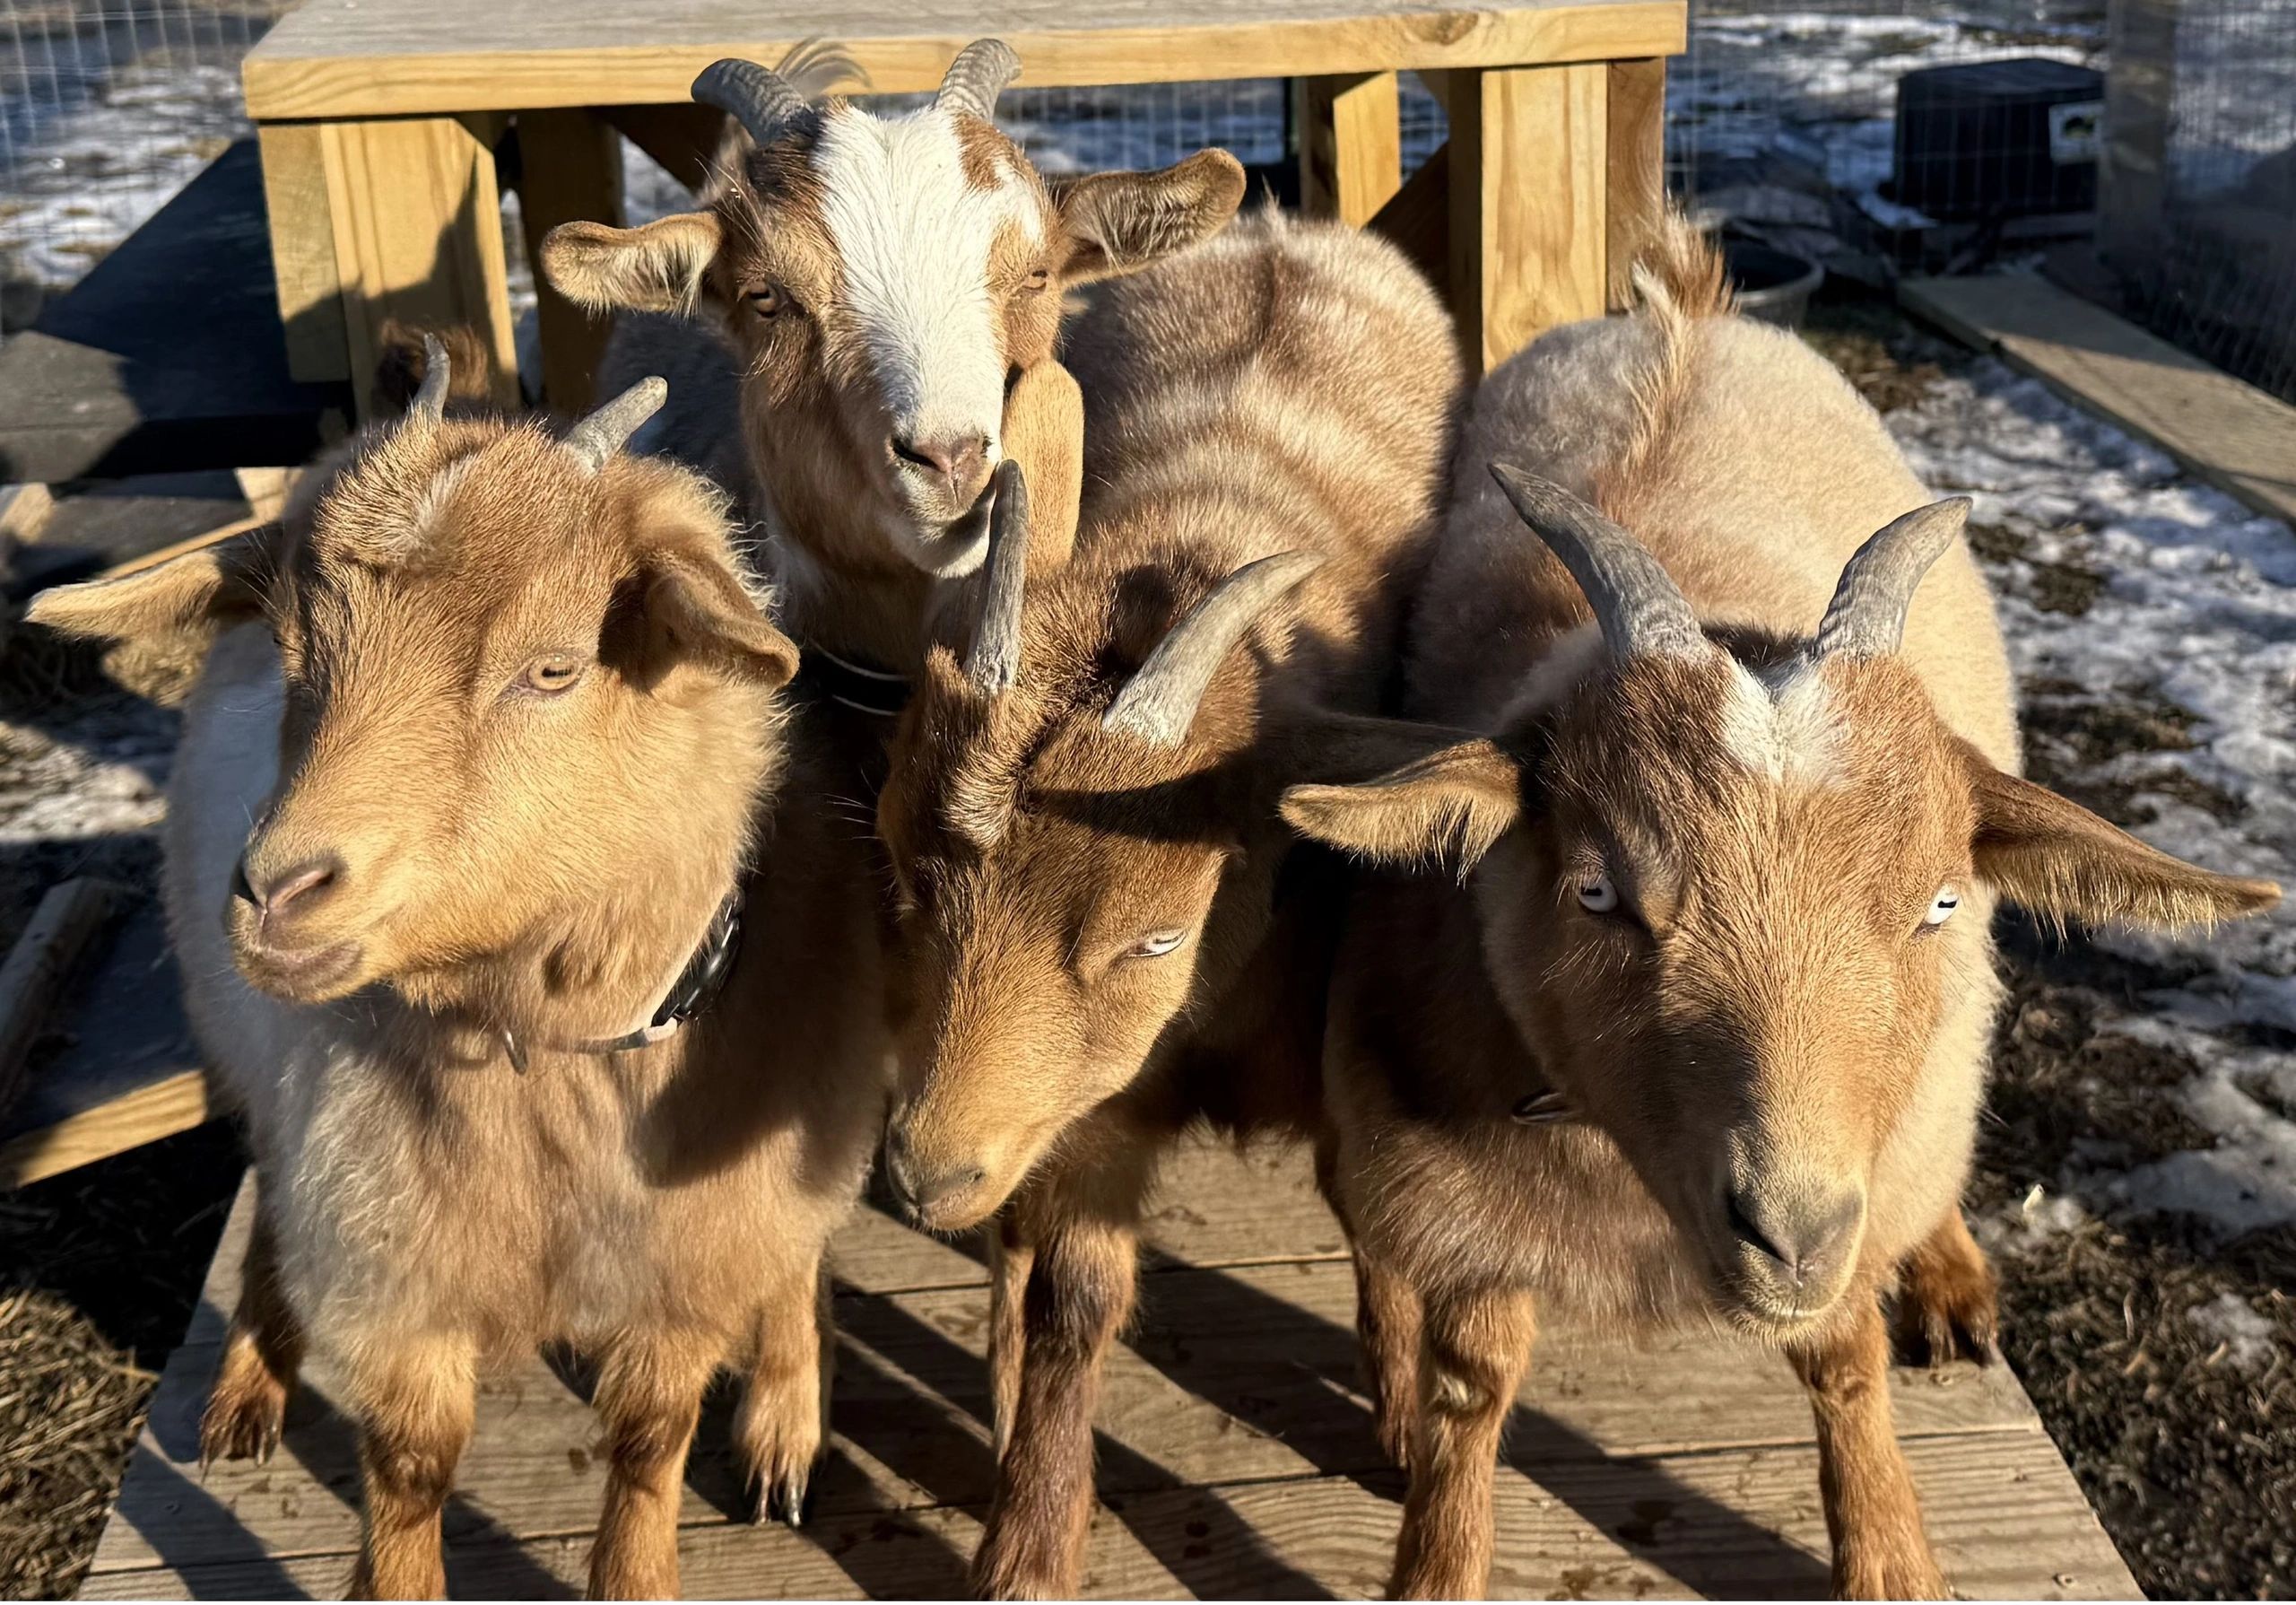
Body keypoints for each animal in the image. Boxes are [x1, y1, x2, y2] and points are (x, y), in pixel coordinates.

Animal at [28, 347, 889, 1600]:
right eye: (292, 654)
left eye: (555, 667)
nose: (278, 892)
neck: (542, 1055)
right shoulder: (396, 1267)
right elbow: (412, 1465)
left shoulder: (682, 1262)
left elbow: (650, 1441)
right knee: (270, 1200)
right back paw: (245, 1383)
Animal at [869, 210, 1462, 1596]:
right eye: (902, 870)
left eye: (1156, 935)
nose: (921, 1171)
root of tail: (1281, 225)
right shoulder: (1089, 1110)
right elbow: (1075, 1291)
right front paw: (1028, 1544)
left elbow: (1369, 1202)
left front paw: (1403, 1411)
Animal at [1277, 234, 2281, 1598]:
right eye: (1595, 888)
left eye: (1939, 900)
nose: (1790, 1230)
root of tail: (1686, 308)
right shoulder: (1470, 1213)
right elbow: (1470, 1390)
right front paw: (1438, 1558)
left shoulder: (1868, 1177)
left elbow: (1844, 1361)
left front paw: (1892, 1554)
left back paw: (1952, 1280)